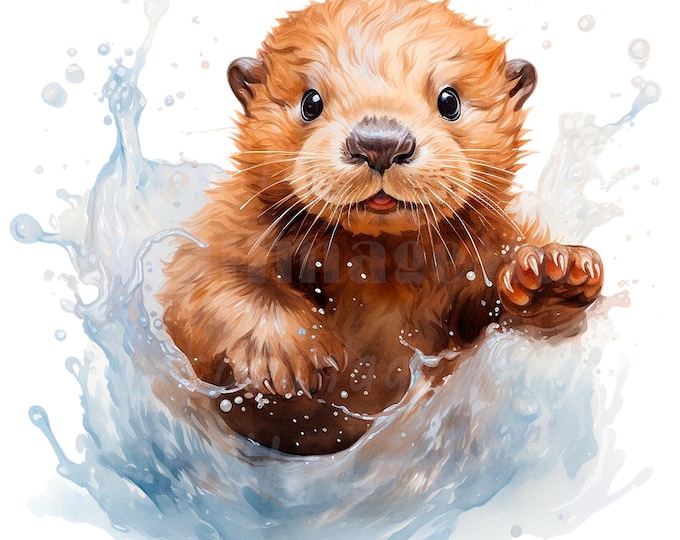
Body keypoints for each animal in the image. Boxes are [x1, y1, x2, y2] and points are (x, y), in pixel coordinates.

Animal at [160, 0, 603, 455]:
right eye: (310, 102)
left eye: (449, 101)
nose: (380, 142)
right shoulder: (226, 227)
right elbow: (202, 285)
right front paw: (289, 348)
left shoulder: (485, 252)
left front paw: (553, 274)